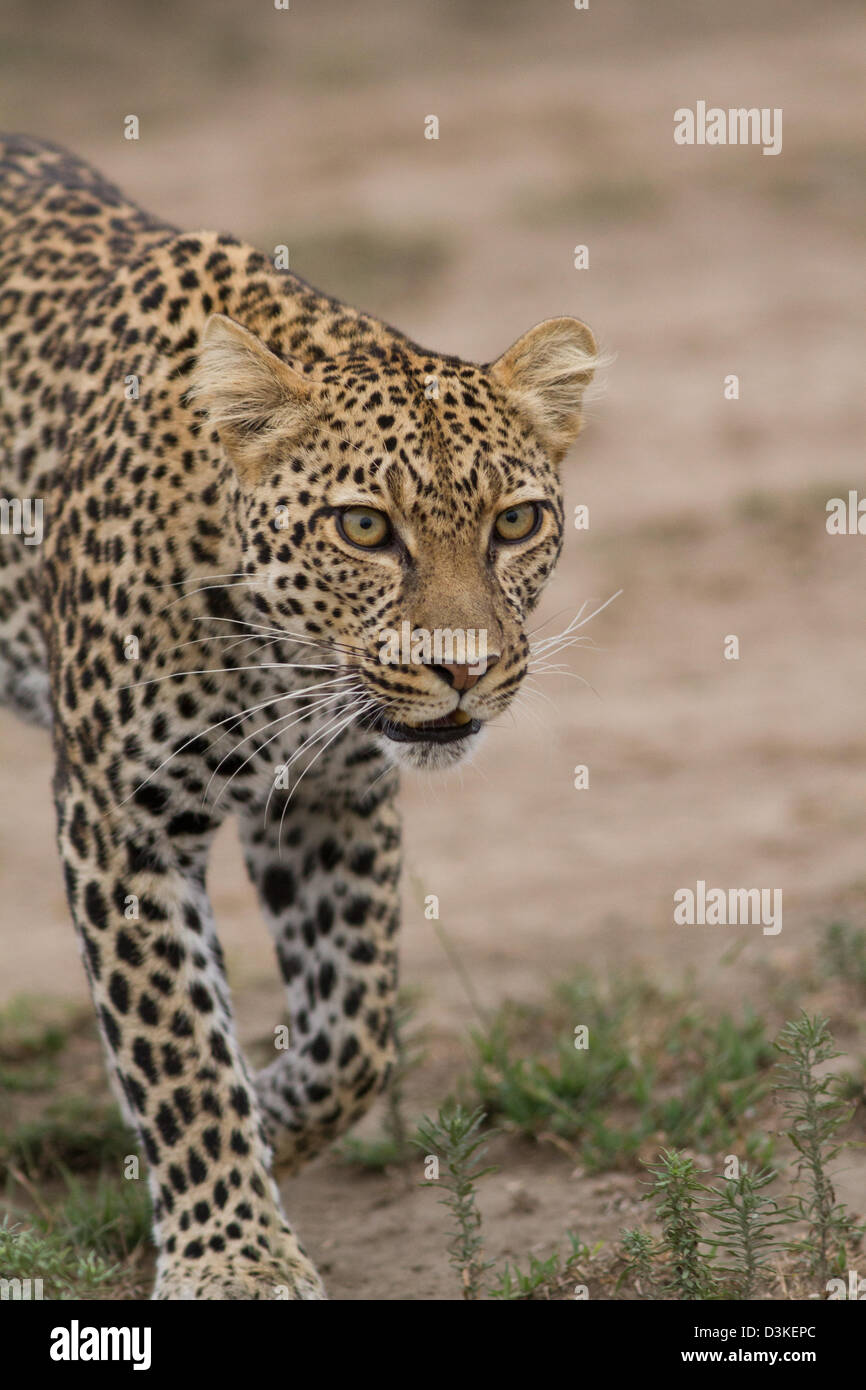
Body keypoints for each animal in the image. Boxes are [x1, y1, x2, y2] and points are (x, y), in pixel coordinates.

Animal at [0, 134, 602, 1299]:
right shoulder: (120, 817)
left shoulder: (331, 787)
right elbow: (180, 1051)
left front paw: (273, 1114)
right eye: (364, 528)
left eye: (514, 523)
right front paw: (233, 1254)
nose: (461, 672)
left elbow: (355, 1026)